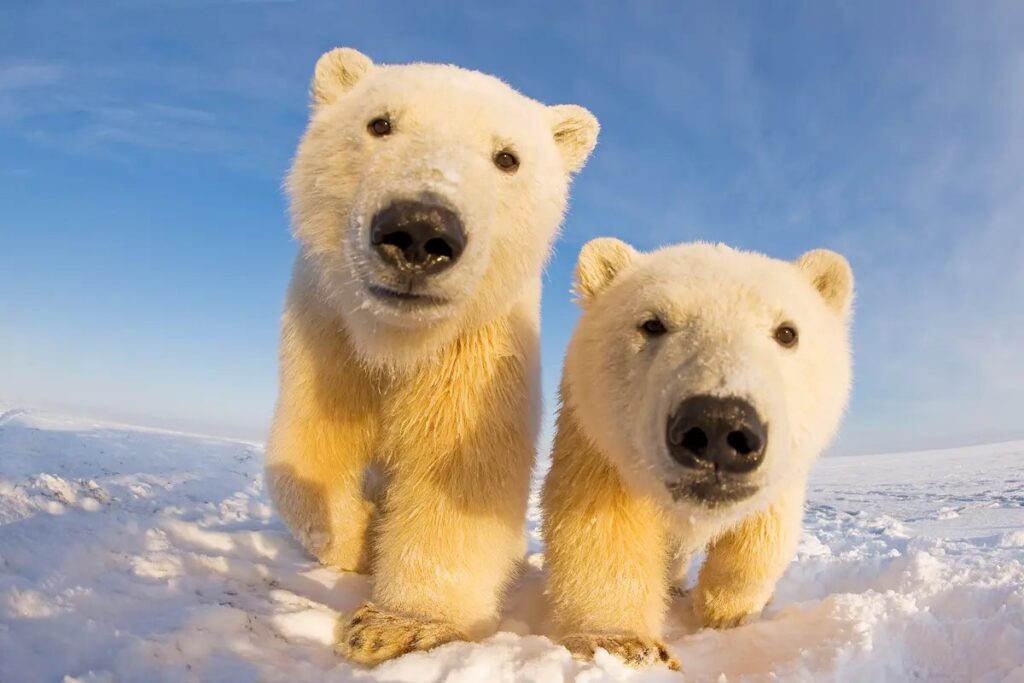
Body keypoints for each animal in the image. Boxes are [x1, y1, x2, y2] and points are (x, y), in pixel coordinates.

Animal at [265, 47, 599, 667]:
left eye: (507, 157)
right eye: (380, 123)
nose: (420, 231)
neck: (397, 342)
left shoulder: (476, 355)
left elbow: (457, 473)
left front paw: (398, 625)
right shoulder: (327, 335)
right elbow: (308, 450)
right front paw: (363, 538)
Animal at [541, 238, 854, 670]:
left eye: (787, 332)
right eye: (652, 324)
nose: (718, 426)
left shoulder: (783, 469)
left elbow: (764, 533)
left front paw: (728, 611)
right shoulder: (595, 441)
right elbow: (600, 526)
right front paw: (624, 644)